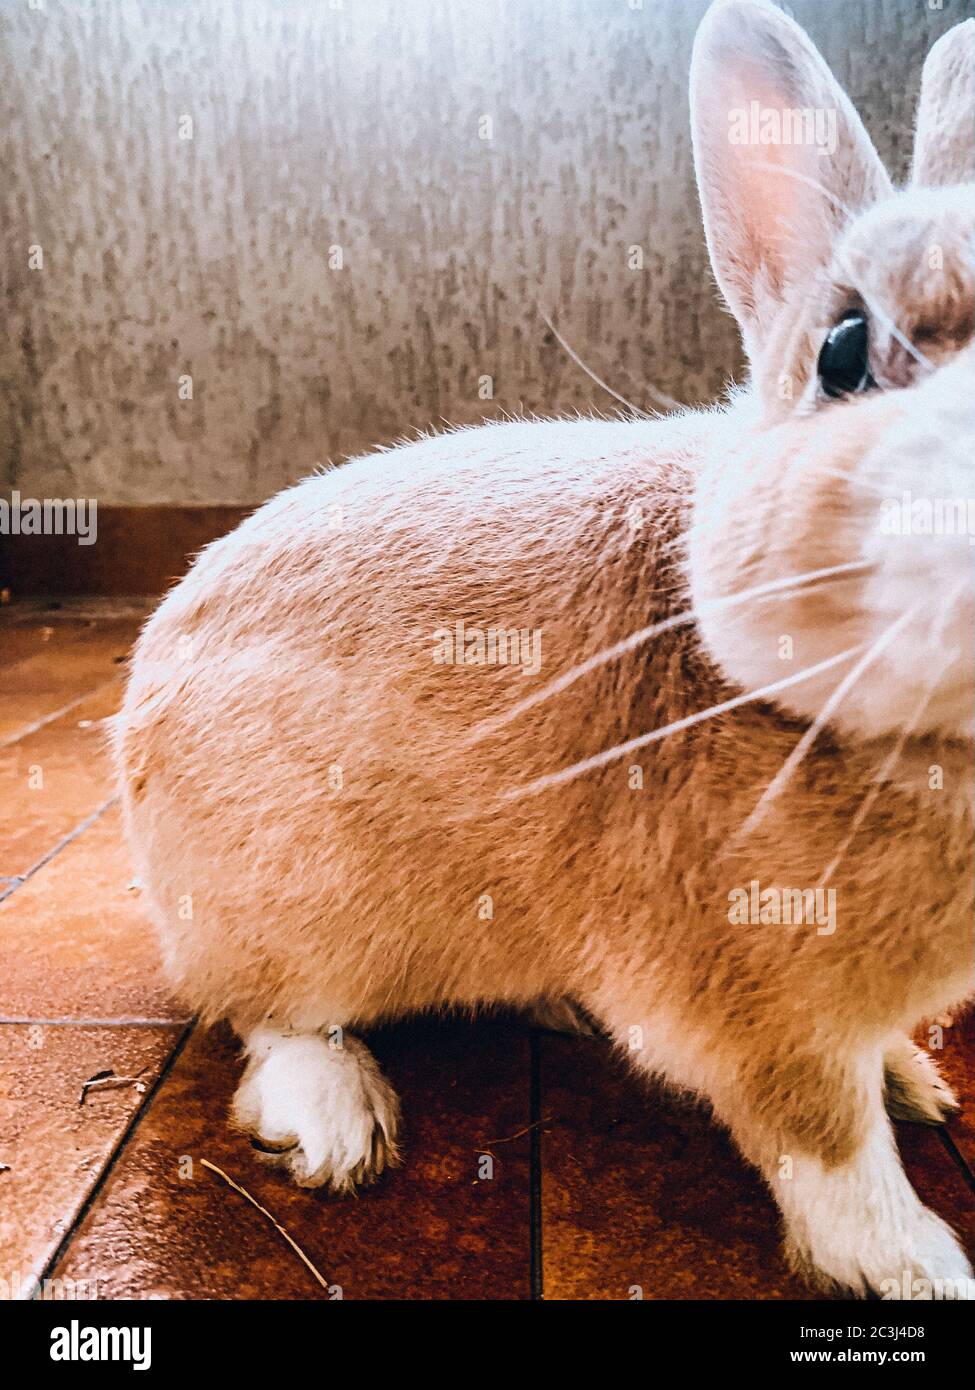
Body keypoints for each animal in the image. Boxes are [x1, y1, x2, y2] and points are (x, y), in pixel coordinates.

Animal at [113, 0, 975, 1298]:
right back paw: (336, 1116)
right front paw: (917, 1262)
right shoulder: (757, 1009)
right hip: (291, 913)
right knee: (260, 1010)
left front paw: (917, 1082)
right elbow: (828, 1148)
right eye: (842, 352)